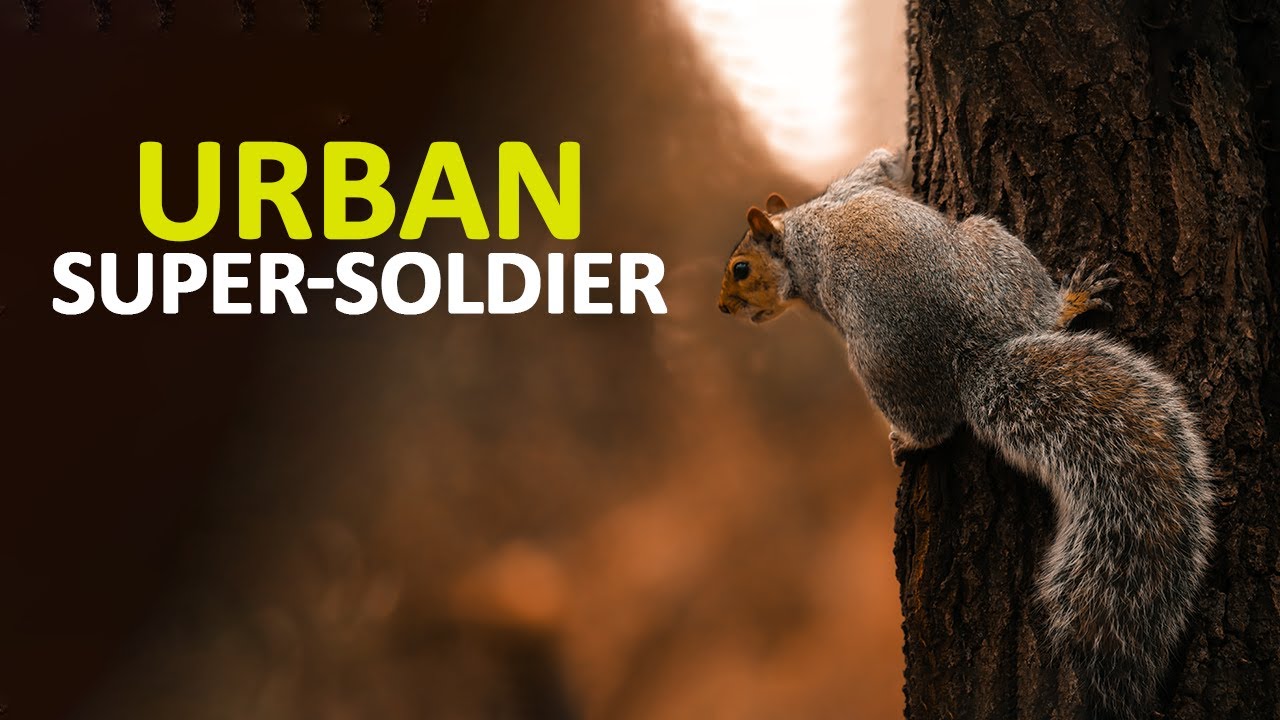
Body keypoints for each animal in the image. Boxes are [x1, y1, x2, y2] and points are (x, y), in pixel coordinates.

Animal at [717, 148, 1215, 720]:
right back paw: (1069, 304)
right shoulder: (851, 188)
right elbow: (881, 168)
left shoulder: (844, 197)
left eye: (740, 269)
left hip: (888, 354)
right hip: (993, 253)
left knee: (935, 426)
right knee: (1036, 322)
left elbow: (877, 166)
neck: (799, 227)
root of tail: (971, 353)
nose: (723, 308)